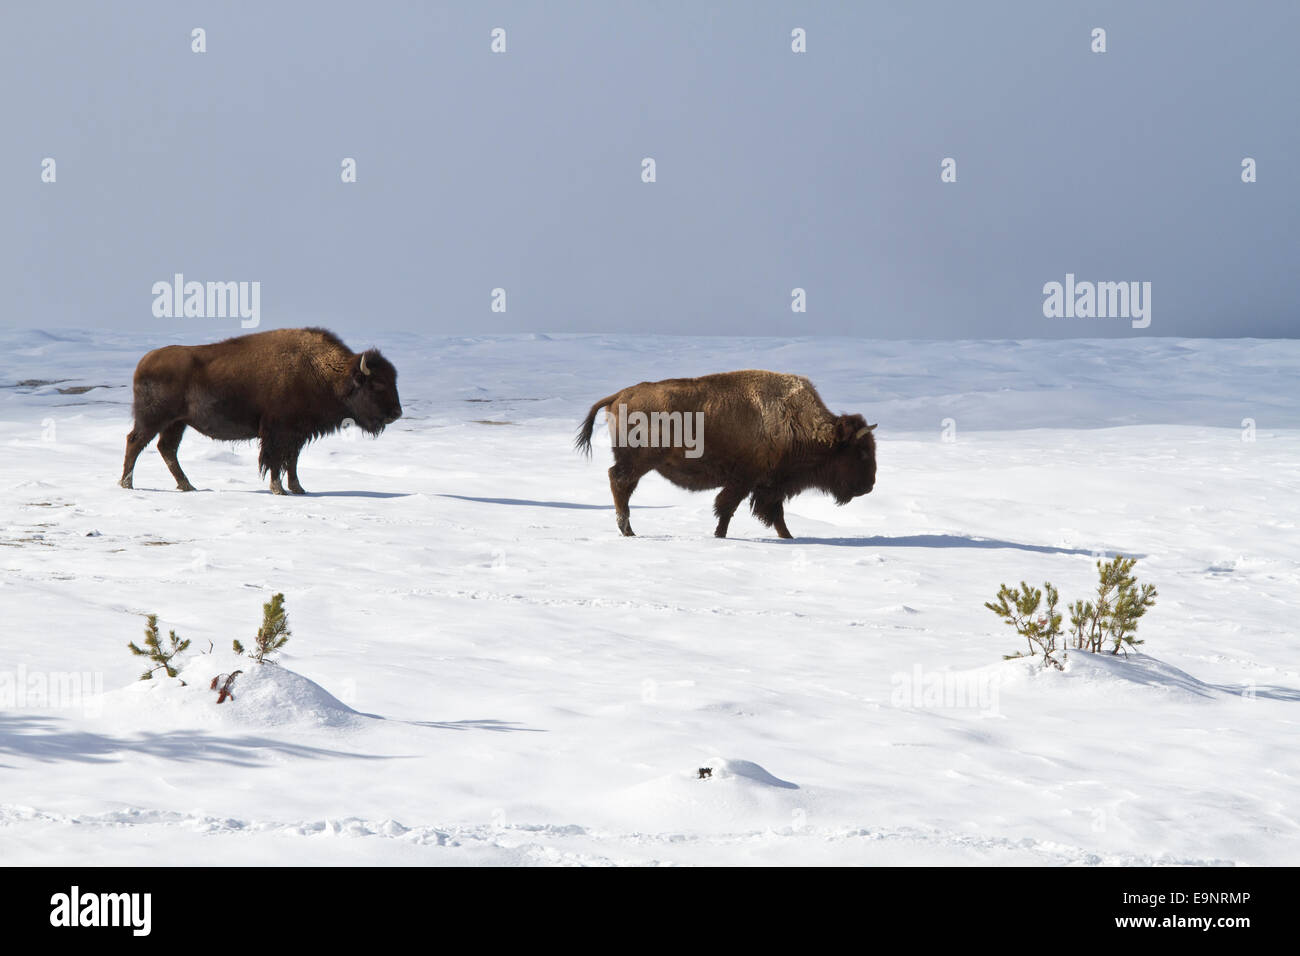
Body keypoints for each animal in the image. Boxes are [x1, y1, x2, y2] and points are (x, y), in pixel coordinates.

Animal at [119, 327, 402, 495]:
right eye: (377, 384)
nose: (396, 413)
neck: (327, 373)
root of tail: (143, 363)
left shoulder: (297, 435)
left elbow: (292, 461)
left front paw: (298, 489)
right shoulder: (277, 432)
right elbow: (275, 461)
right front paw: (279, 489)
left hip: (176, 423)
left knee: (166, 449)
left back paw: (187, 485)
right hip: (155, 419)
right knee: (135, 442)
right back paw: (128, 484)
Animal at [575, 370, 876, 538]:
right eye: (860, 453)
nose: (870, 486)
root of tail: (618, 396)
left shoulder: (765, 486)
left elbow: (772, 514)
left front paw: (788, 537)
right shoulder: (746, 482)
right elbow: (728, 508)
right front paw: (720, 536)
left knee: (621, 485)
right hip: (638, 461)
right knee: (619, 482)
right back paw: (628, 531)